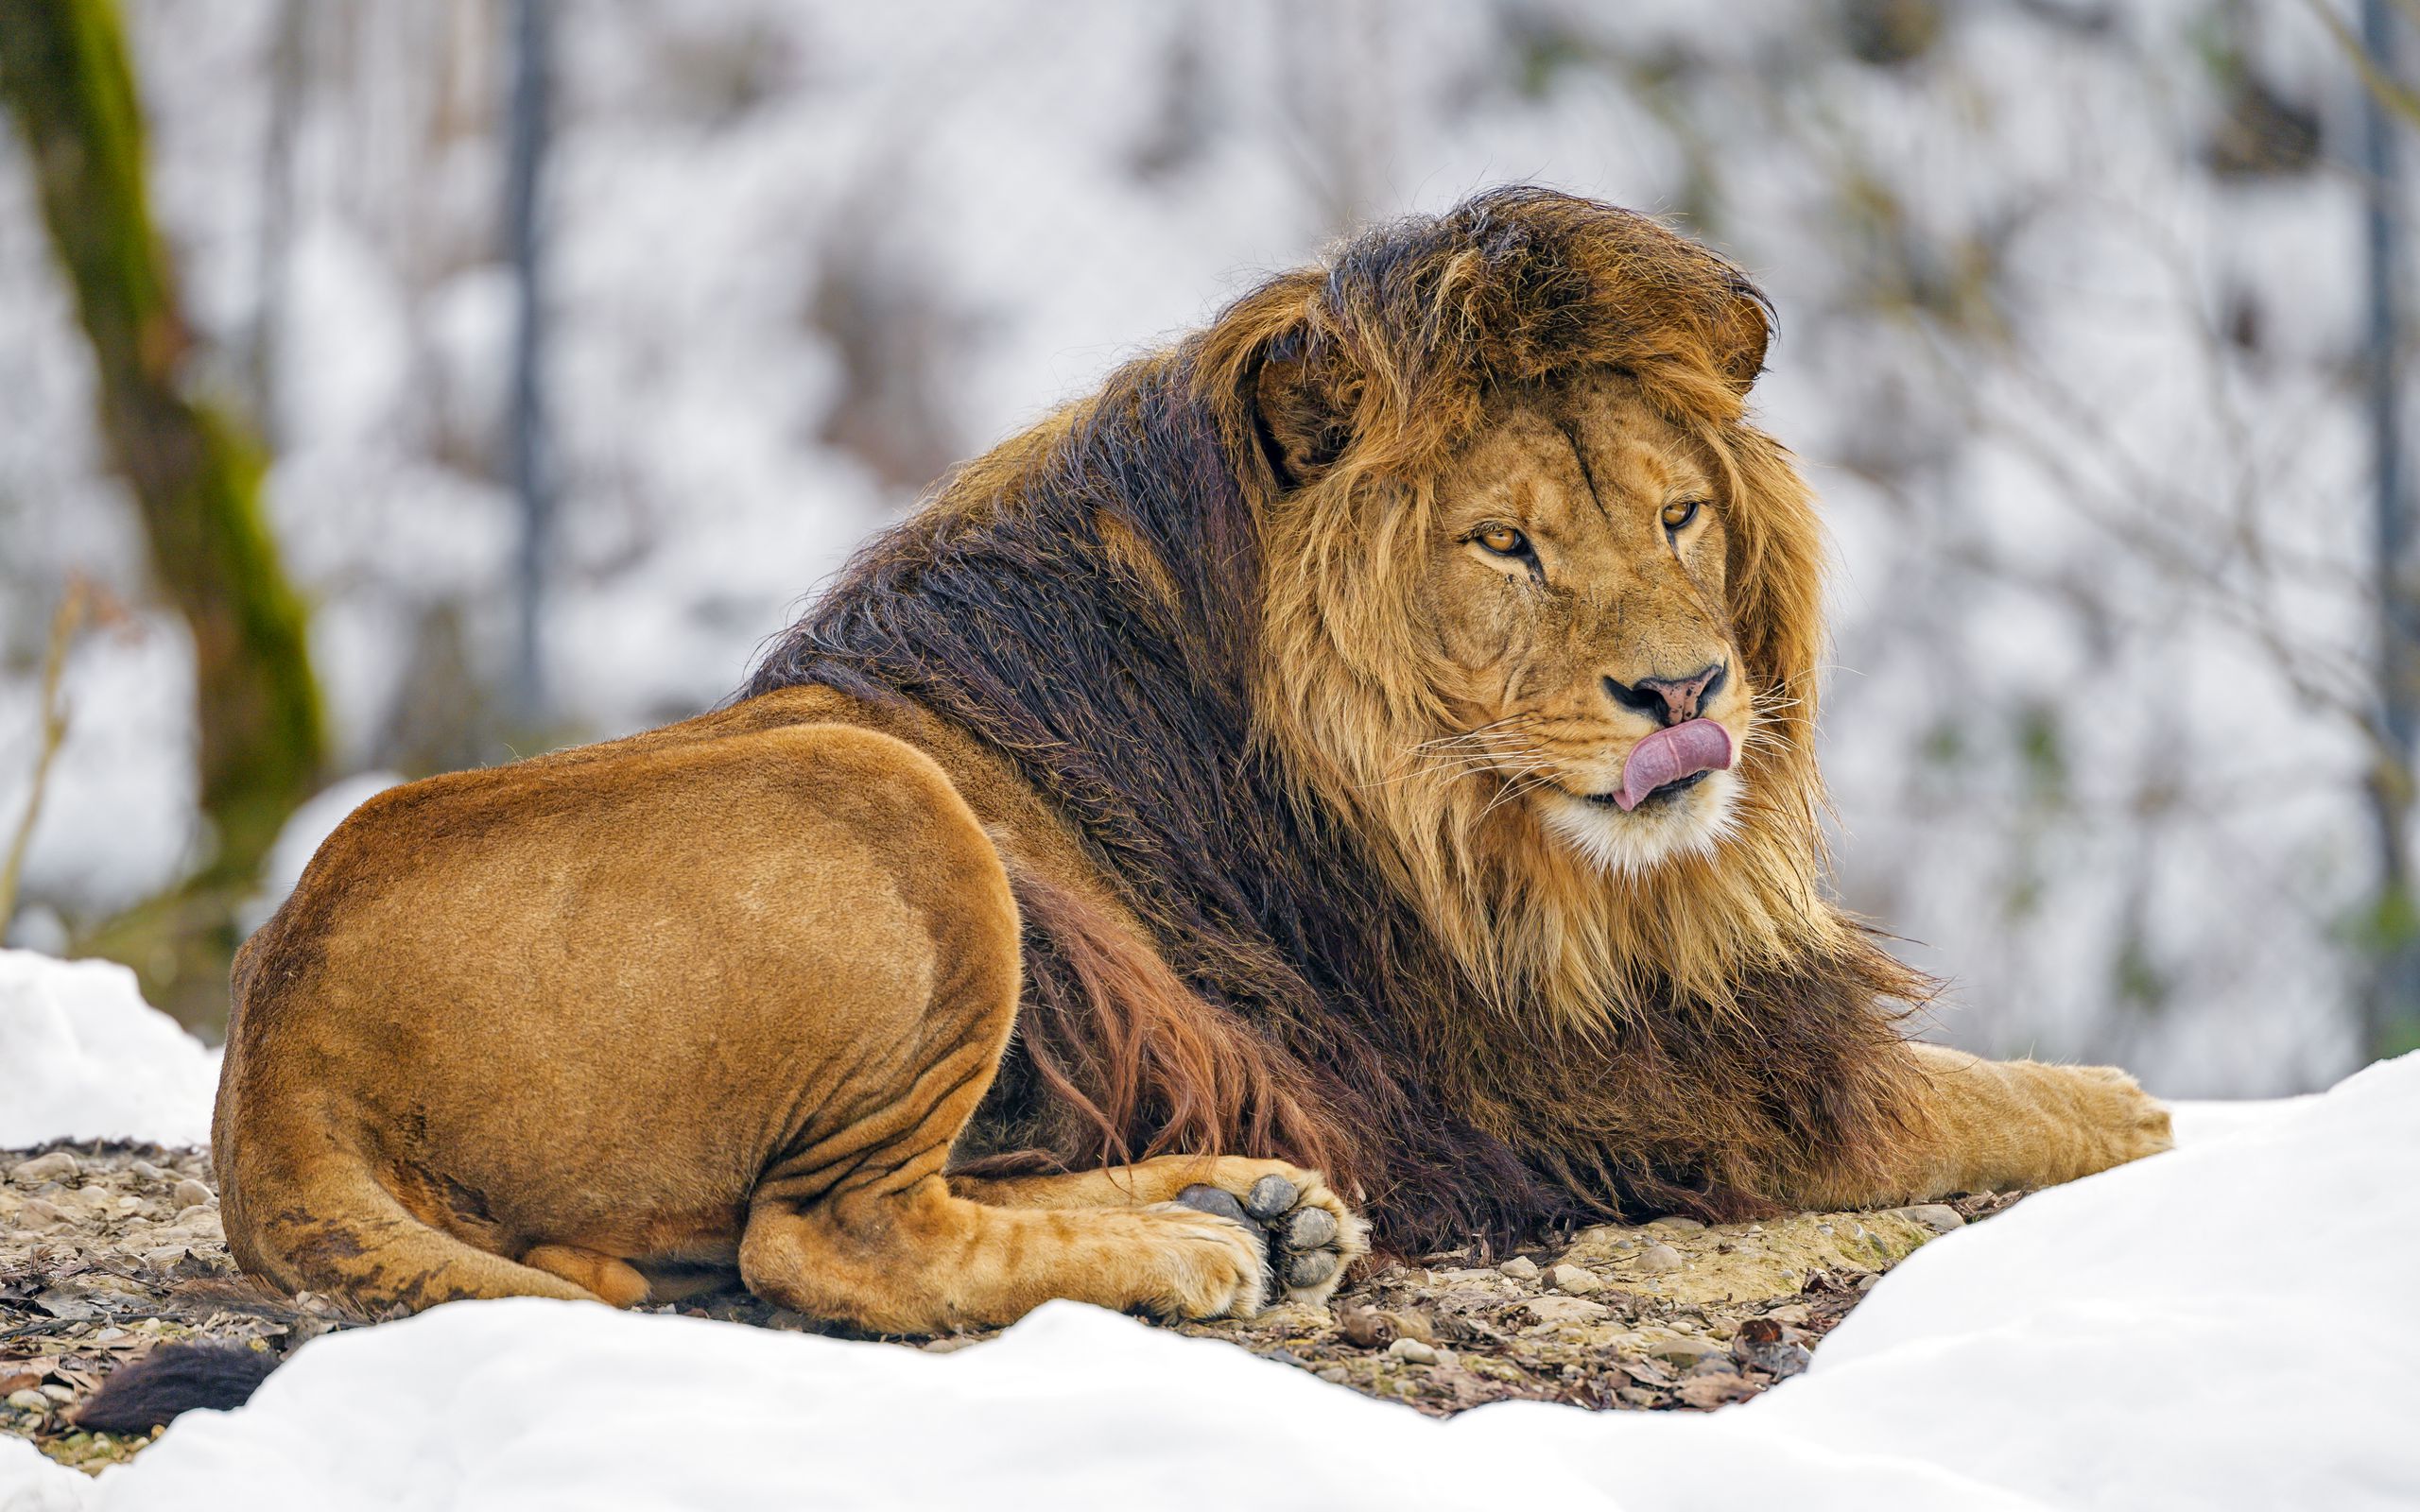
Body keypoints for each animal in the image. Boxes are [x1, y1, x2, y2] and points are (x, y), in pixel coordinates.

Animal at [213, 187, 2170, 1336]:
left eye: (1678, 515)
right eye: (1506, 546)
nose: (1684, 686)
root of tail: (273, 1051)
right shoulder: (1637, 1092)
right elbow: (2051, 1110)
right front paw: (2121, 1103)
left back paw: (1263, 1206)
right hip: (899, 812)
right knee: (825, 1241)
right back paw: (1204, 1250)